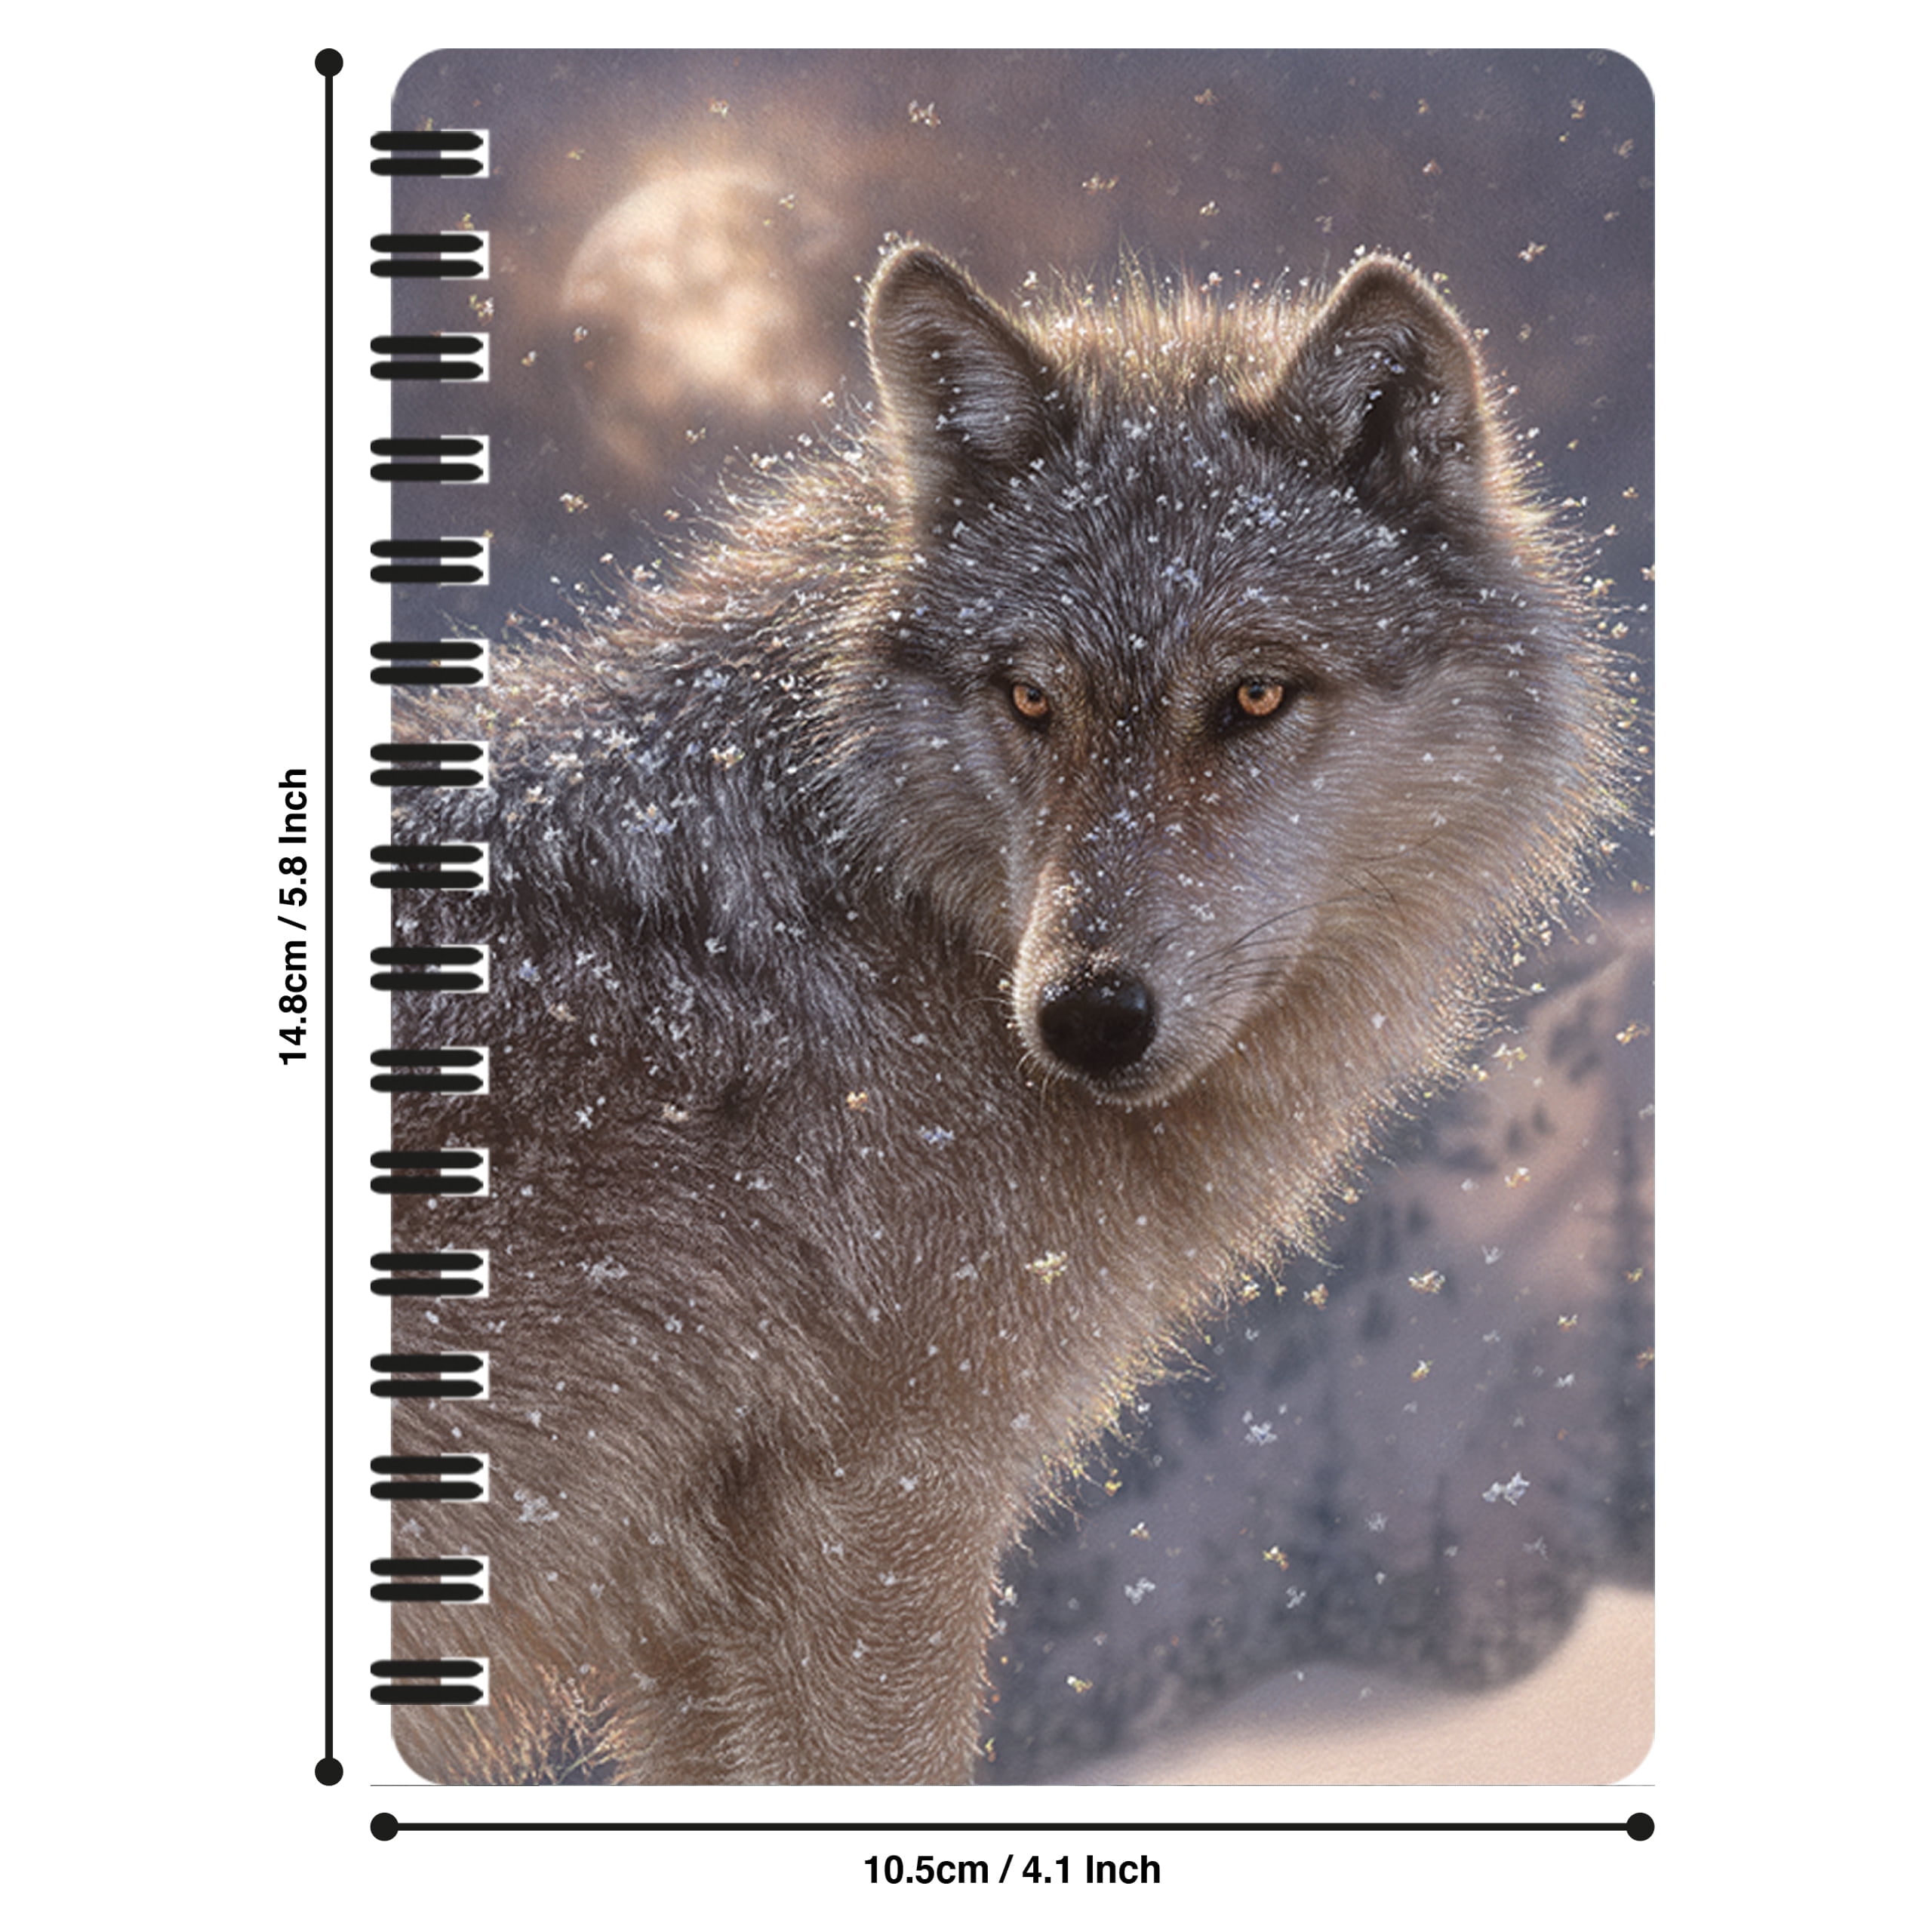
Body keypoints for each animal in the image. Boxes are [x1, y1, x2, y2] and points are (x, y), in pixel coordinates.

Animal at [384, 243, 1625, 1783]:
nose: (1087, 1017)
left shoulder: (711, 1606)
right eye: (1033, 698)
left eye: (1255, 694)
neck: (886, 903)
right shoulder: (883, 1511)